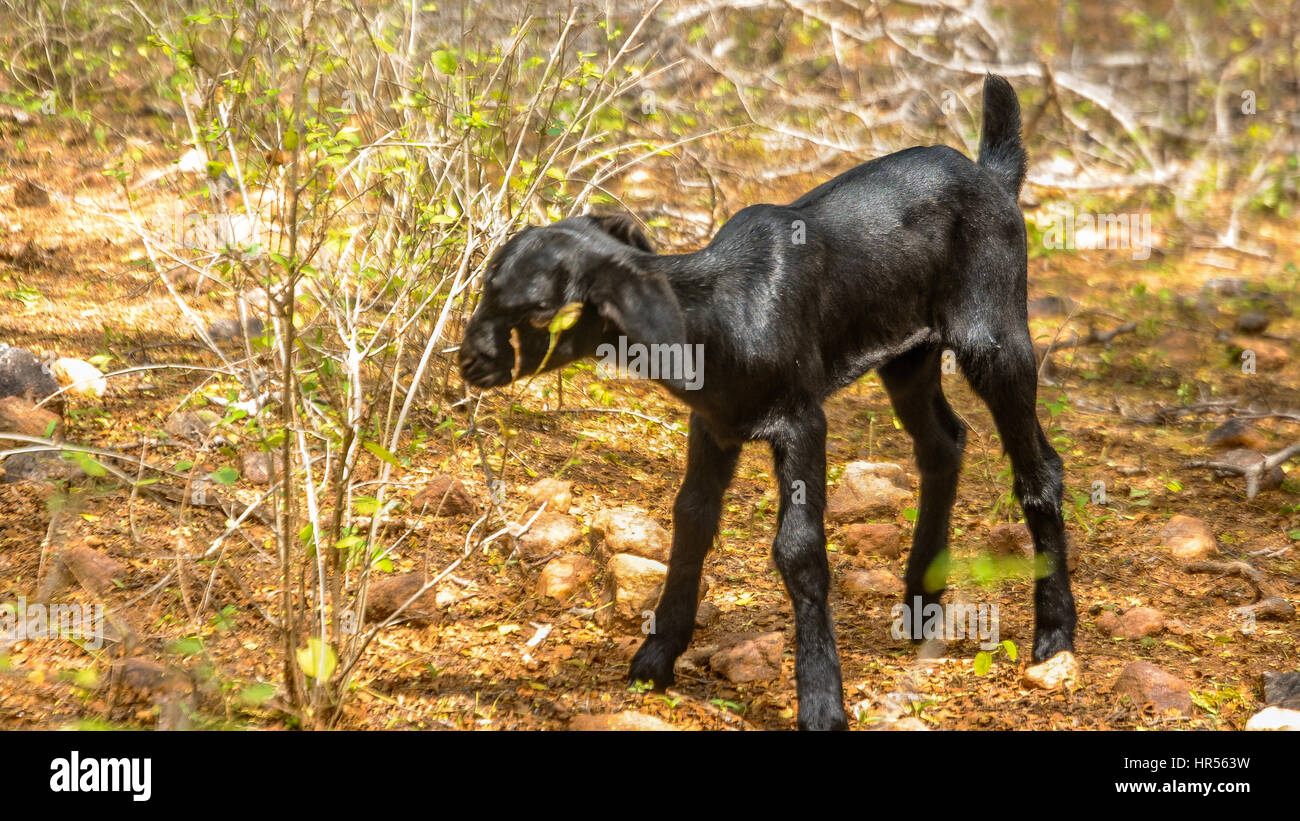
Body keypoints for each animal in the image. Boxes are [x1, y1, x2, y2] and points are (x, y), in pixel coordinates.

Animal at [458, 75, 1076, 730]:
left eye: (540, 312)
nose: (469, 362)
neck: (725, 311)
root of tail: (993, 175)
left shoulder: (803, 421)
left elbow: (798, 548)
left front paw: (823, 701)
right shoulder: (714, 425)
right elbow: (691, 517)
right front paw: (655, 657)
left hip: (995, 332)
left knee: (1040, 469)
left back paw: (1054, 635)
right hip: (908, 355)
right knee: (943, 443)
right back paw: (920, 600)